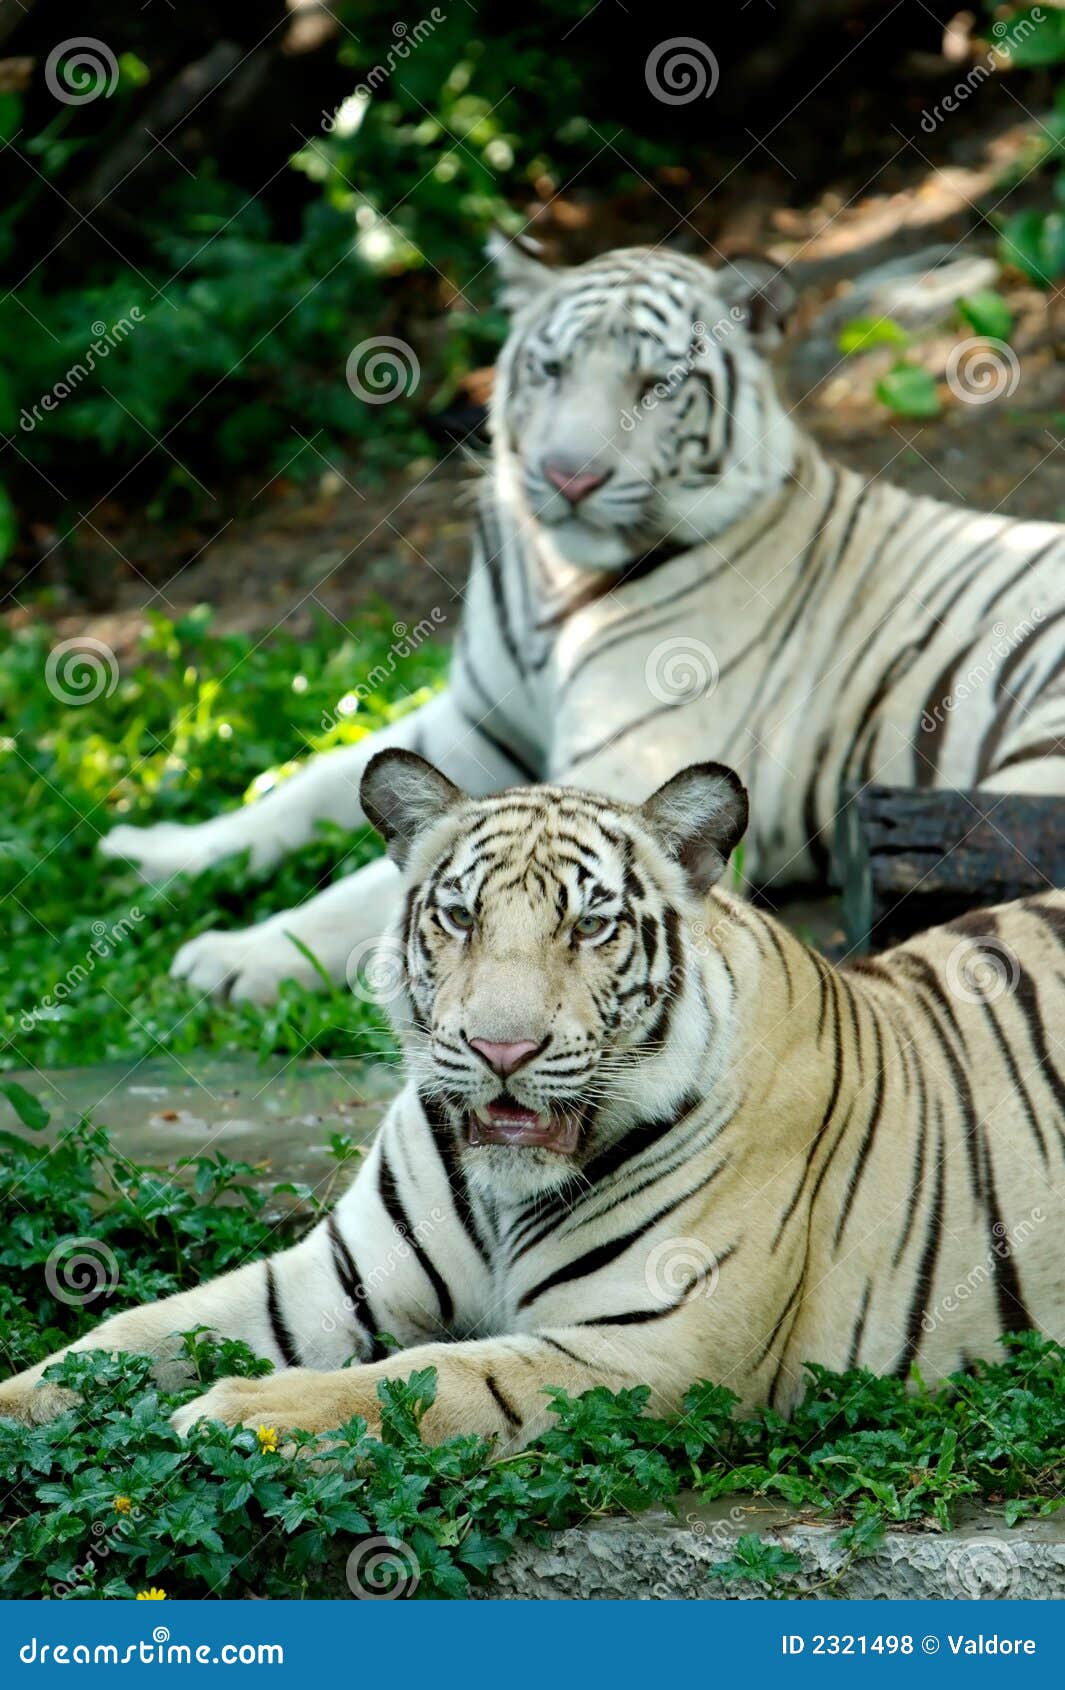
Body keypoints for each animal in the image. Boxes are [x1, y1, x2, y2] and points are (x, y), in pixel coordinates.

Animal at [7, 752, 1065, 1443]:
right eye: (458, 914)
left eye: (590, 925)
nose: (500, 1048)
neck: (502, 1194)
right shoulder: (332, 1274)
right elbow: (127, 1331)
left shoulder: (658, 1347)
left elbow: (433, 1376)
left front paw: (251, 1412)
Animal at [100, 240, 1065, 1004]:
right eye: (551, 370)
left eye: (657, 382)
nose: (569, 477)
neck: (551, 583)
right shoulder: (475, 720)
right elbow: (303, 786)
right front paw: (151, 852)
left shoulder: (620, 765)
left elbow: (392, 875)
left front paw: (235, 958)